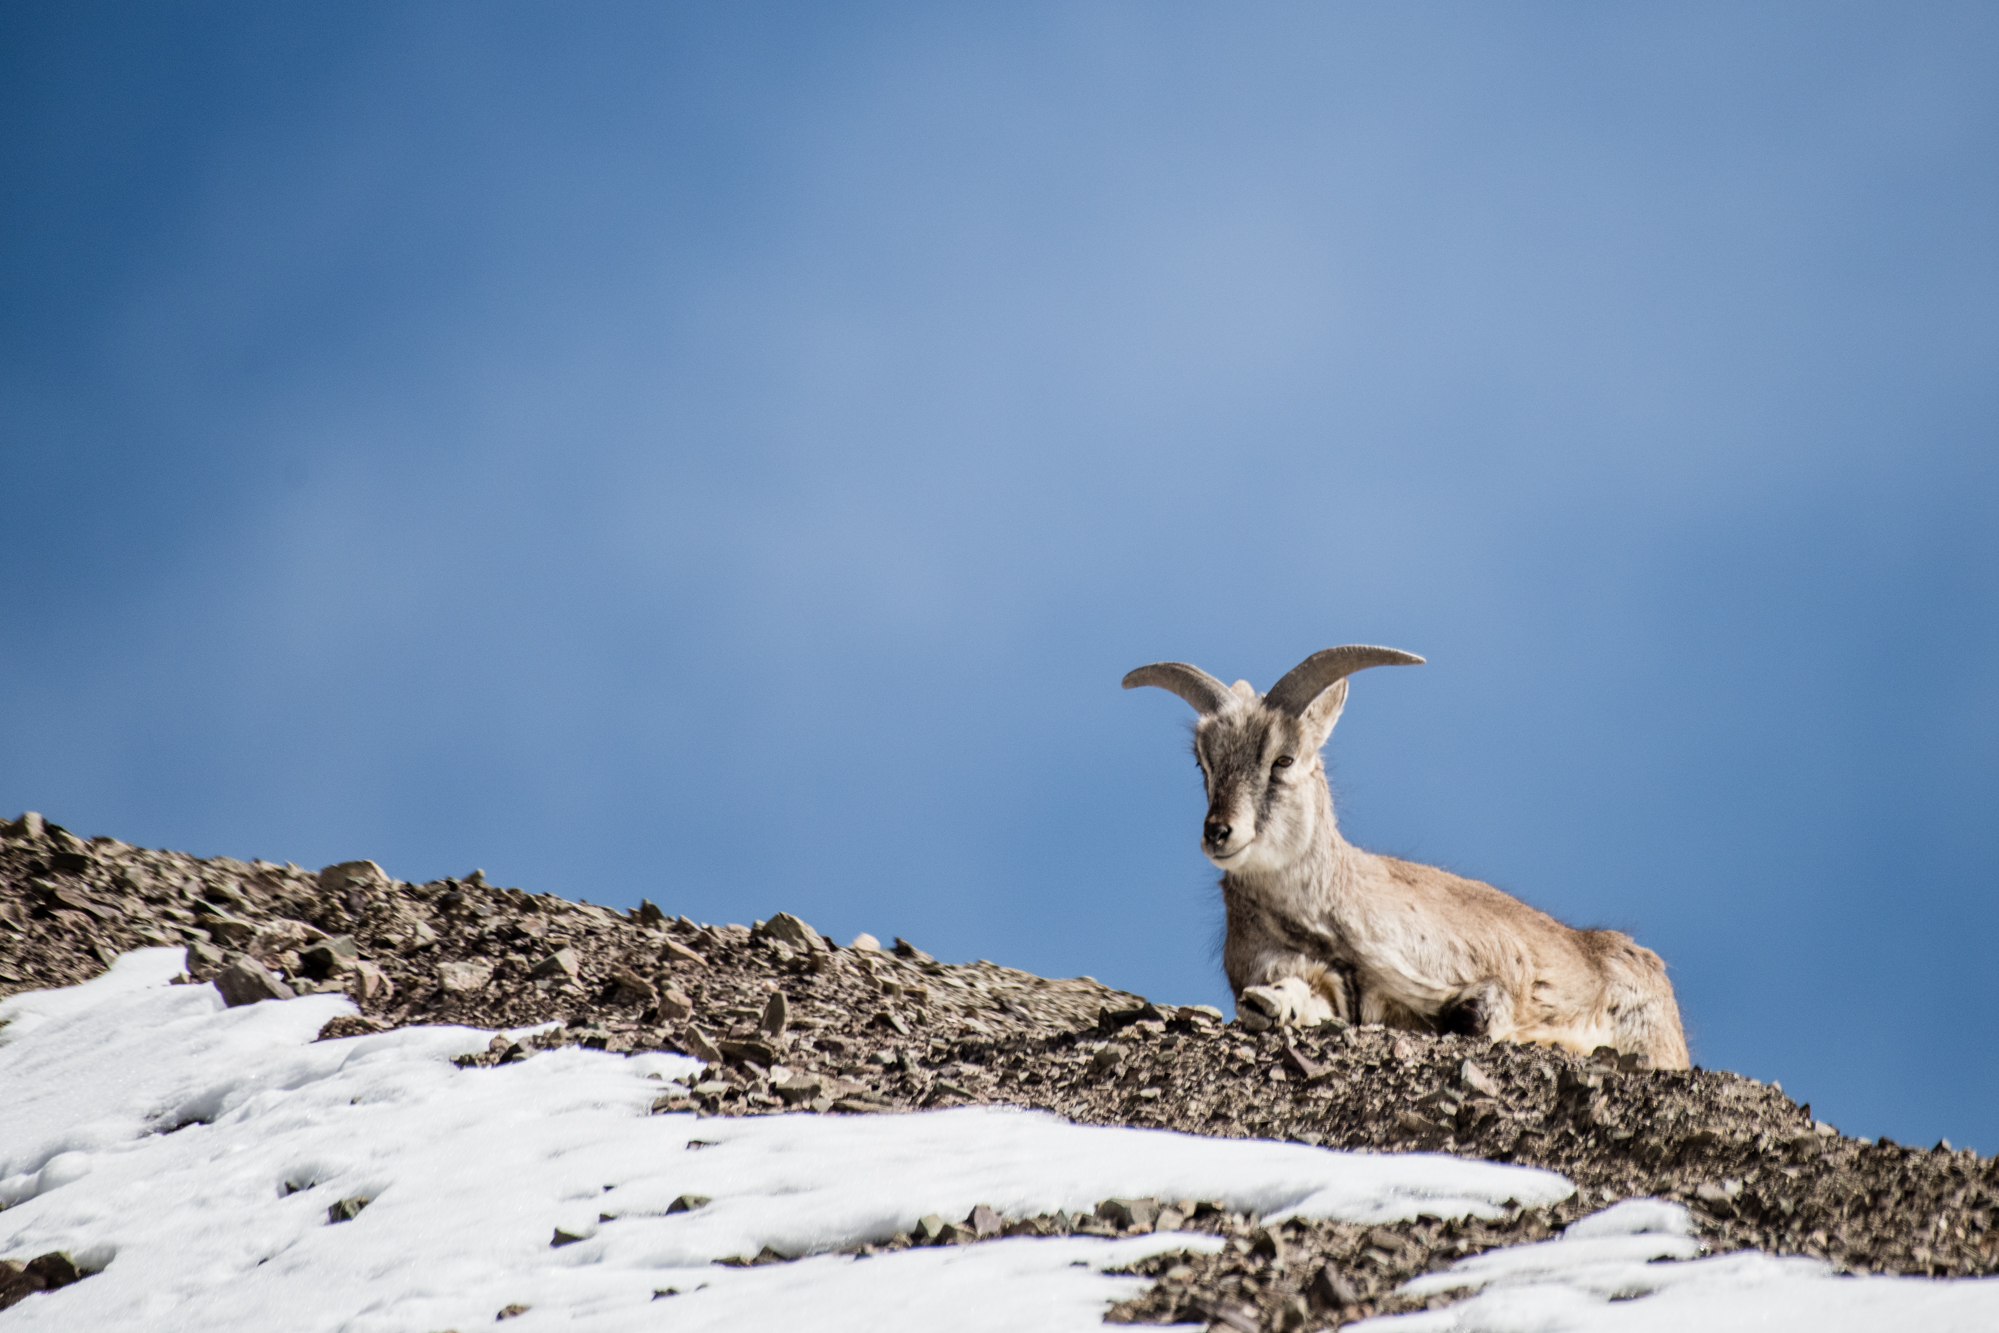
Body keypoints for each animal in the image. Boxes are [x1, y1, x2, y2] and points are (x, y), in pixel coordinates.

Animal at [1124, 645, 1689, 1069]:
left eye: (1283, 759)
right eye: (1204, 764)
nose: (1219, 832)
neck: (1327, 920)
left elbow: (1482, 1012)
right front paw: (1271, 1003)